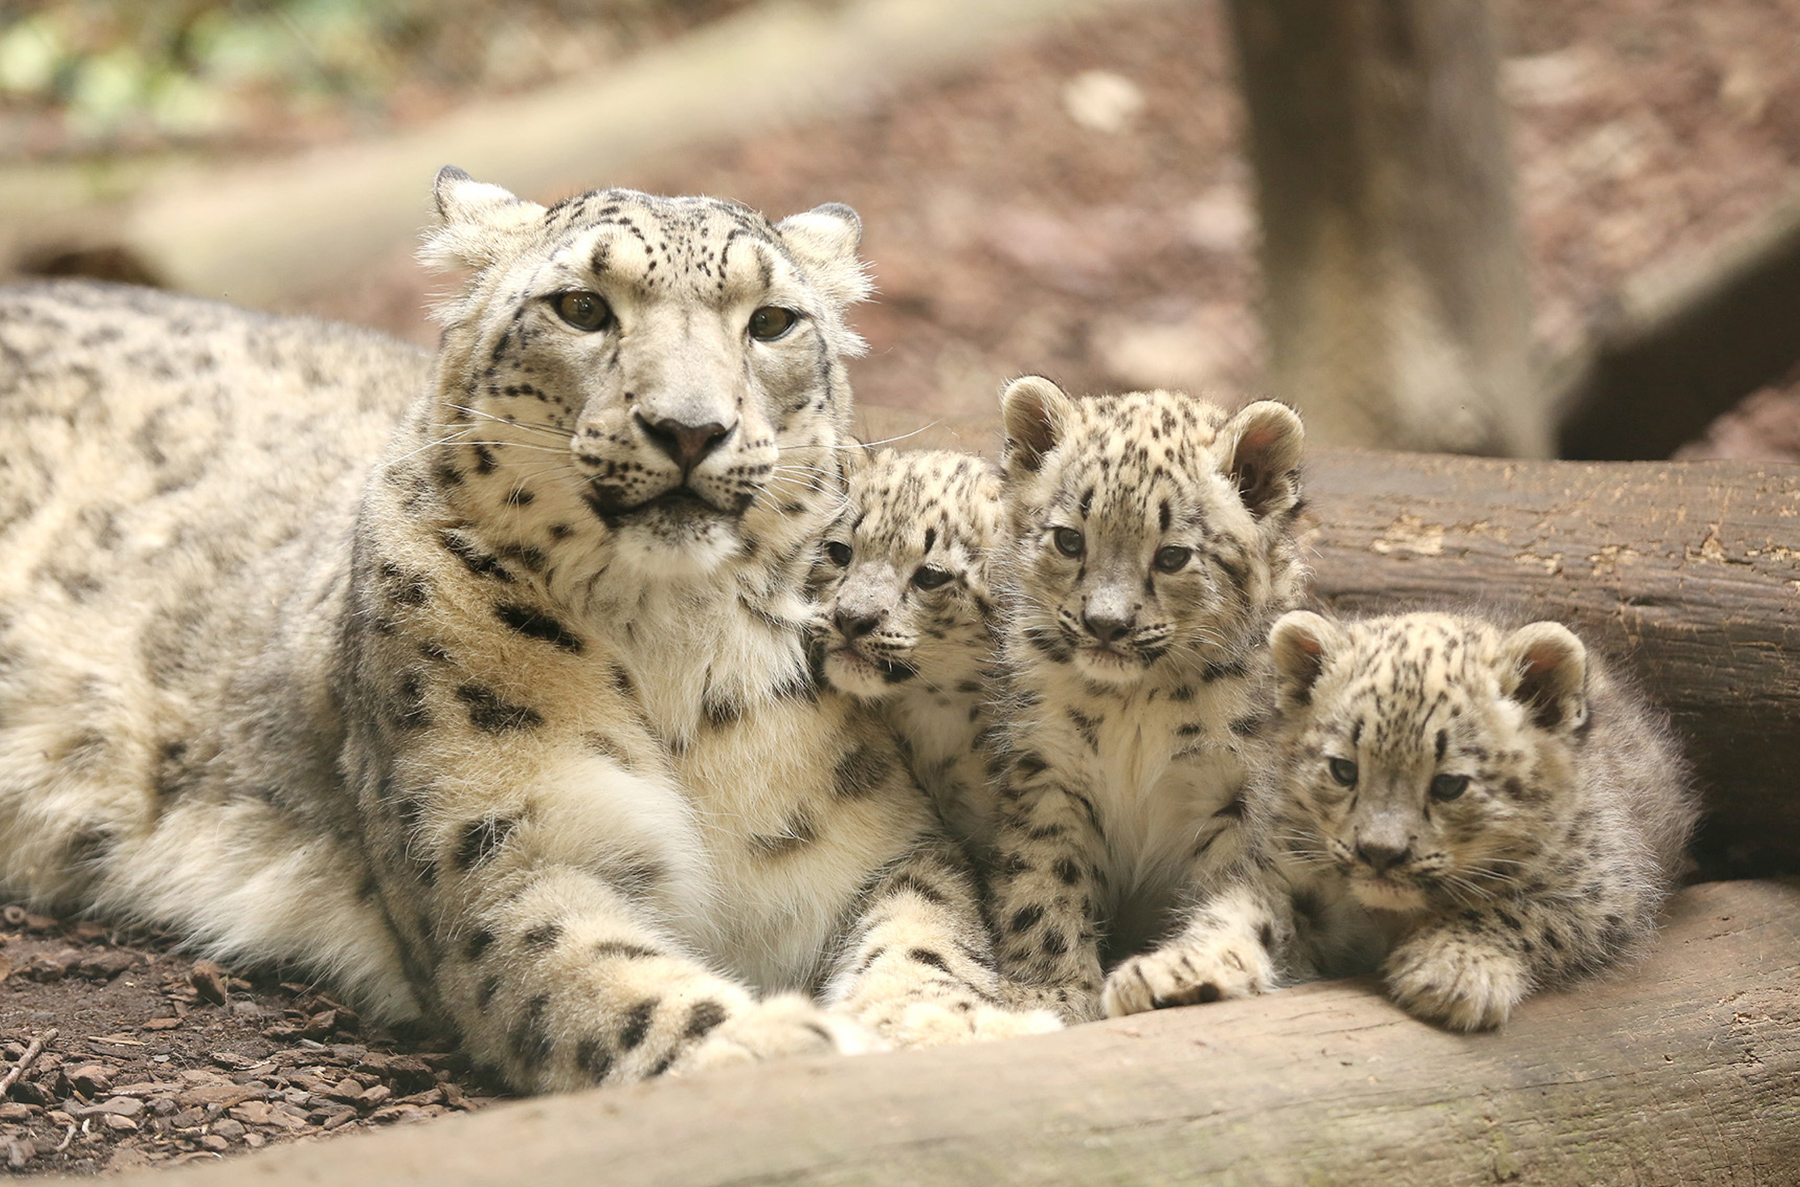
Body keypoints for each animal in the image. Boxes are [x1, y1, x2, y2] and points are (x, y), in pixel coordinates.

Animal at [980, 376, 1307, 1022]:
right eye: (1069, 539)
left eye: (1173, 555)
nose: (1106, 625)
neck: (1136, 707)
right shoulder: (1049, 772)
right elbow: (1042, 882)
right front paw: (1050, 989)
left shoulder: (1241, 795)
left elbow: (1237, 894)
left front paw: (1184, 972)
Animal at [1102, 609, 1700, 1031]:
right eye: (1344, 769)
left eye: (1449, 783)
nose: (1380, 853)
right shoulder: (1284, 874)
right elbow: (1238, 913)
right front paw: (1175, 973)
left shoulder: (1600, 891)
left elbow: (1517, 911)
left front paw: (1450, 972)